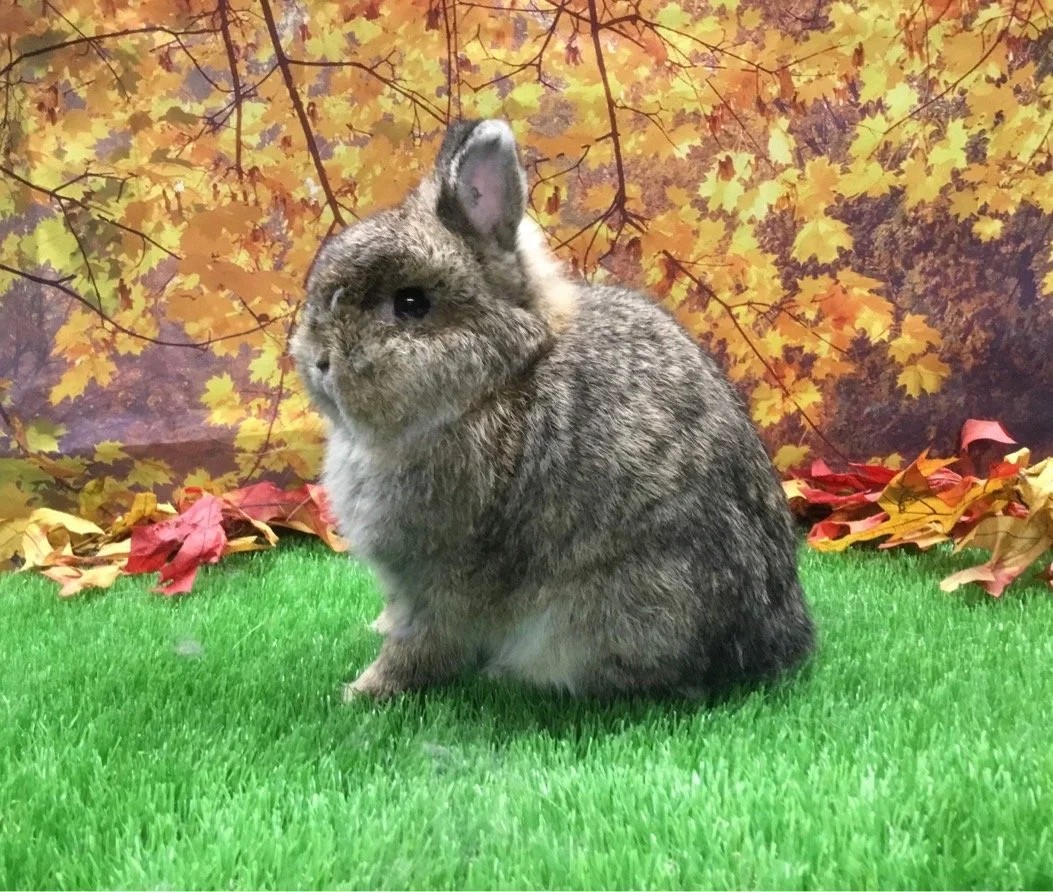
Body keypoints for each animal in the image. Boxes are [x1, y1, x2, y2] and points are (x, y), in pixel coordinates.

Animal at [291, 118, 815, 701]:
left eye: (411, 304)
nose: (318, 361)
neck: (497, 381)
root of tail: (773, 652)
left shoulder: (440, 577)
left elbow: (423, 643)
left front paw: (363, 692)